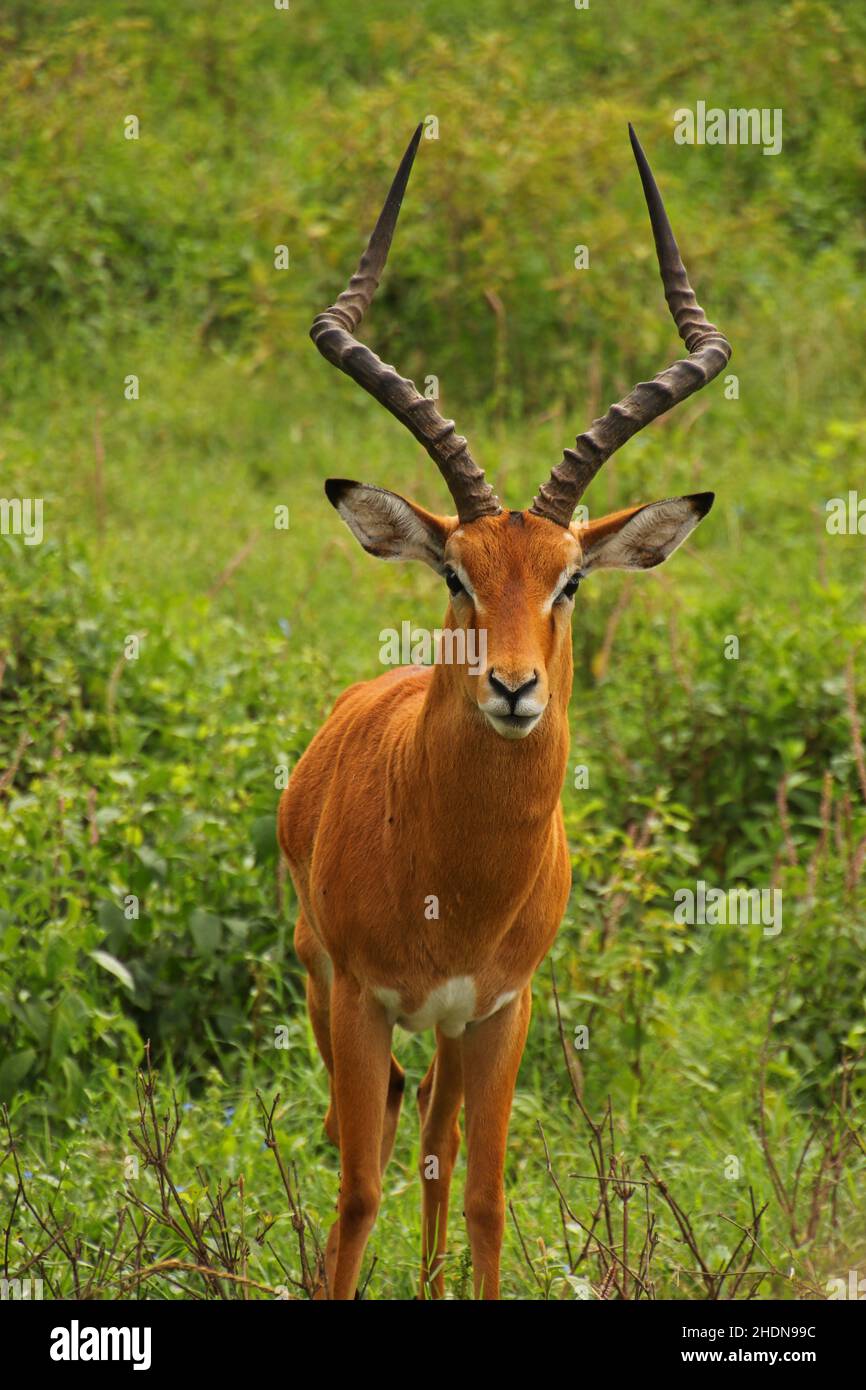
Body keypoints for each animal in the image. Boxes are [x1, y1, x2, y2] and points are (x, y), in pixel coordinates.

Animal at [278, 123, 730, 1300]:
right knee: (371, 1129)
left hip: (448, 1028)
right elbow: (355, 1193)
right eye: (456, 574)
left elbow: (483, 1197)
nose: (514, 688)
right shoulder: (360, 994)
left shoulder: (500, 1008)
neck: (453, 873)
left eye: (568, 580)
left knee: (434, 1148)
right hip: (322, 981)